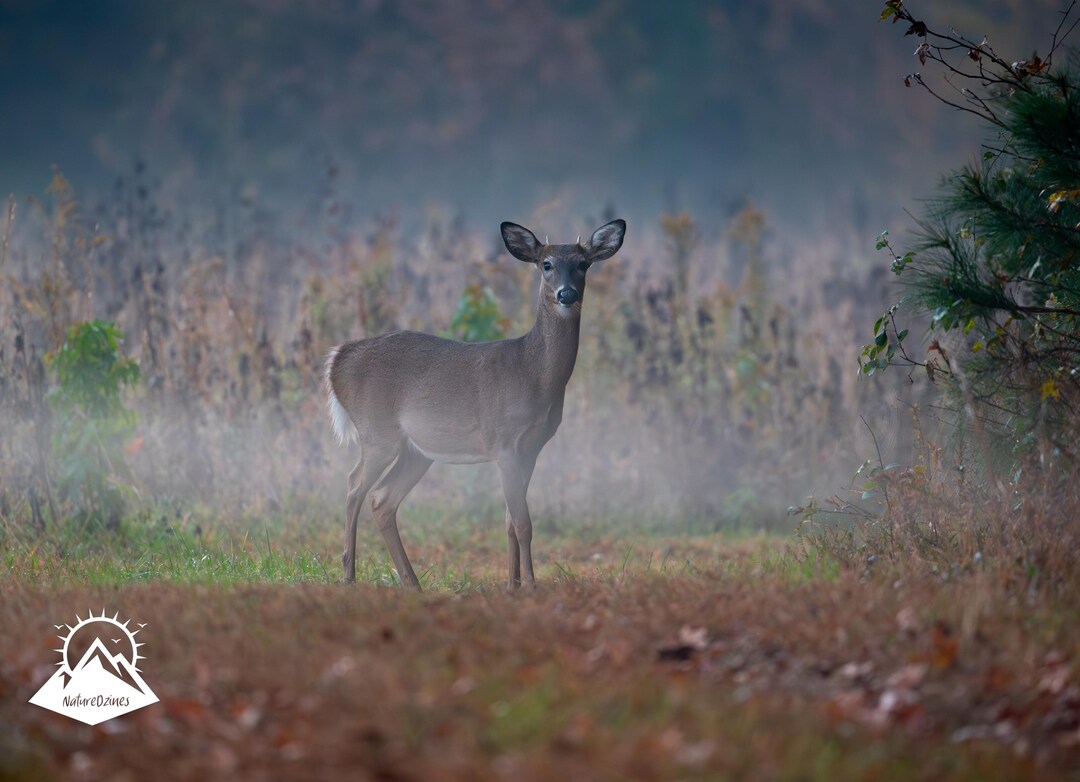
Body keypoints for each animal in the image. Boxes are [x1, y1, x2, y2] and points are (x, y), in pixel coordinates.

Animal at [325, 218, 626, 590]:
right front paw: (530, 585)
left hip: (416, 450)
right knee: (354, 485)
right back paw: (349, 575)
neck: (533, 373)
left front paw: (512, 585)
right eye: (546, 264)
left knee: (382, 498)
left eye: (583, 264)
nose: (566, 294)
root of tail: (338, 359)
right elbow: (523, 523)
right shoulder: (505, 442)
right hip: (377, 431)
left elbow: (510, 520)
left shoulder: (531, 448)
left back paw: (412, 583)